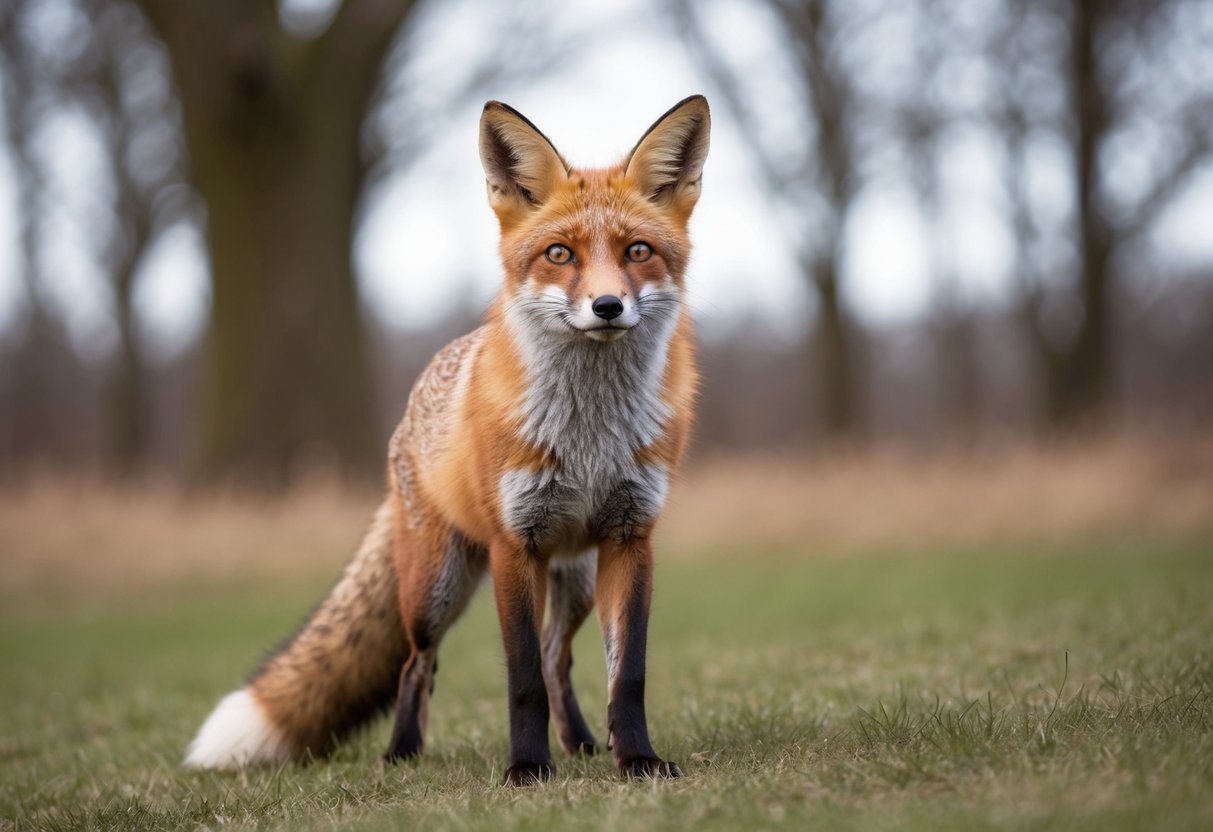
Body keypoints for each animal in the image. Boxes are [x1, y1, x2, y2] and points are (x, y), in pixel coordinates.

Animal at [185, 95, 710, 785]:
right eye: (560, 254)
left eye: (639, 250)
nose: (607, 306)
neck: (589, 434)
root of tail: (410, 413)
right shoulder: (516, 545)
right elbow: (520, 682)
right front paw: (526, 769)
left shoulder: (631, 539)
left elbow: (626, 676)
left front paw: (638, 761)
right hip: (437, 585)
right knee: (419, 664)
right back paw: (403, 752)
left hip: (575, 578)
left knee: (556, 658)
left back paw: (579, 742)